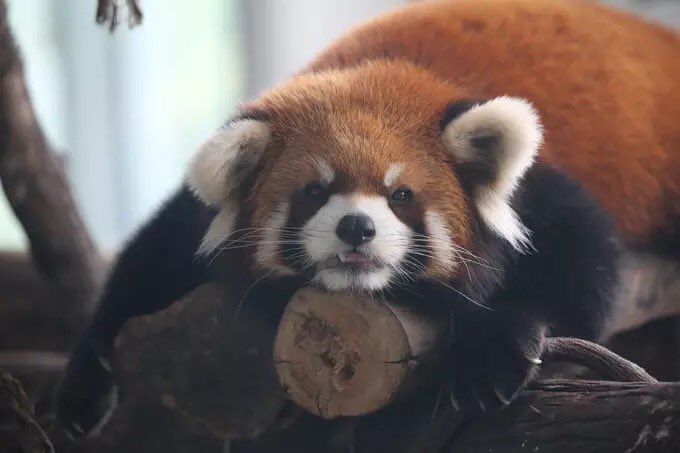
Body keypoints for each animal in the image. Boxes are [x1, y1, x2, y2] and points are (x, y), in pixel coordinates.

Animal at [57, 0, 680, 439]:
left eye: (400, 195)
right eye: (315, 191)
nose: (357, 227)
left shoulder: (541, 196)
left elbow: (584, 274)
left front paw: (497, 346)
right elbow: (150, 261)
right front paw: (86, 380)